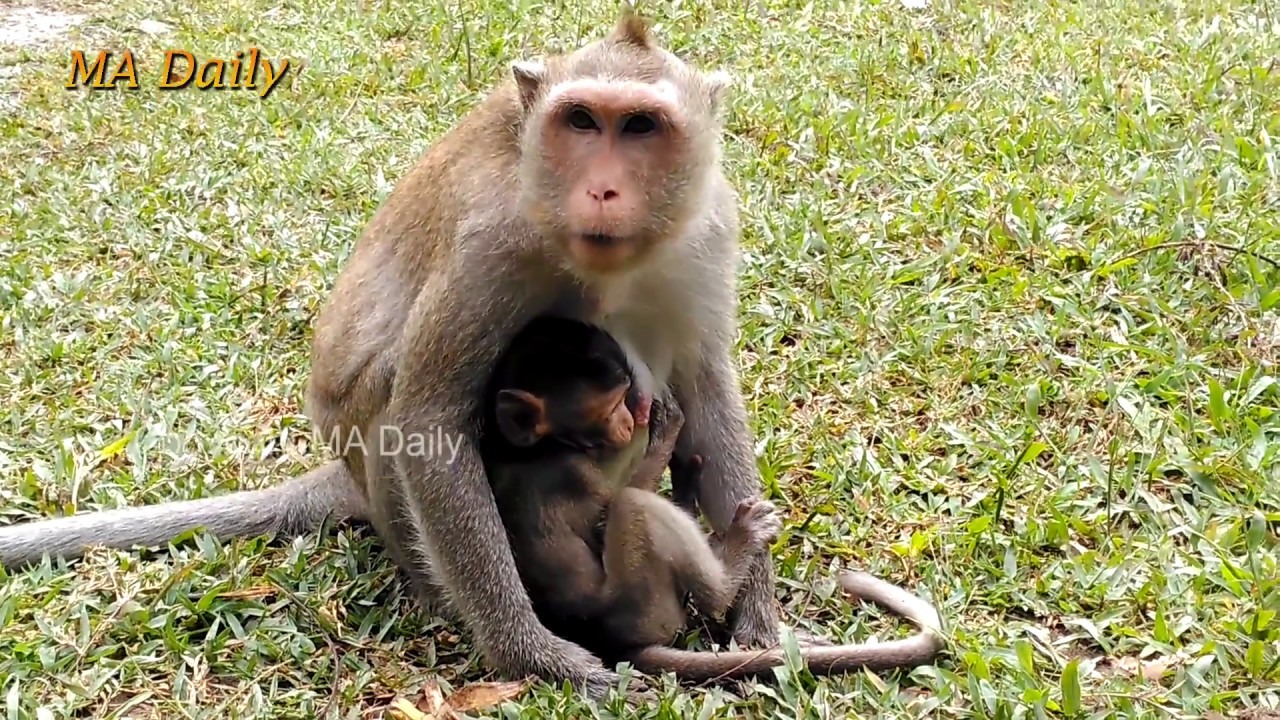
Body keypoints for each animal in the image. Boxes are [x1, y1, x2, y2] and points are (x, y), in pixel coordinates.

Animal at [0, 12, 786, 695]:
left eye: (642, 126)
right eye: (584, 121)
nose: (602, 188)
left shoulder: (711, 225)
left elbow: (706, 384)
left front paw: (756, 617)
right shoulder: (492, 242)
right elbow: (426, 420)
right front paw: (535, 656)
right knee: (391, 403)